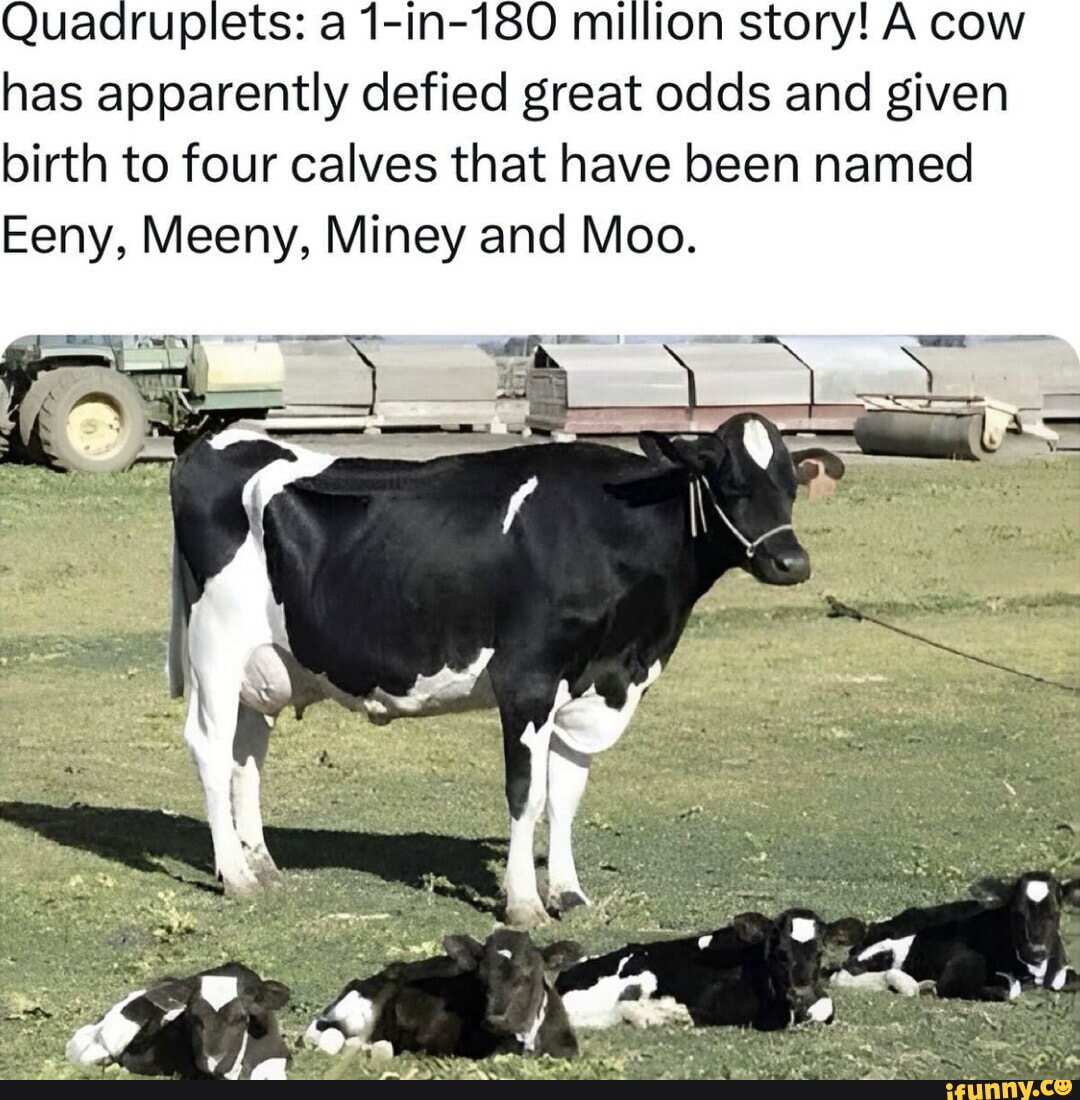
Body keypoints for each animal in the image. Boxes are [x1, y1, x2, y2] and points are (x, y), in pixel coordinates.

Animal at [167, 417, 843, 927]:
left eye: (790, 482)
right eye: (729, 481)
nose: (792, 561)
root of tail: (215, 442)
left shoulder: (591, 683)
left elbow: (566, 794)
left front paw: (568, 892)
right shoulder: (528, 677)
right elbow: (528, 792)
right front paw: (523, 902)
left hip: (264, 662)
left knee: (247, 750)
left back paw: (260, 862)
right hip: (216, 642)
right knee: (209, 745)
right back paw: (235, 875)